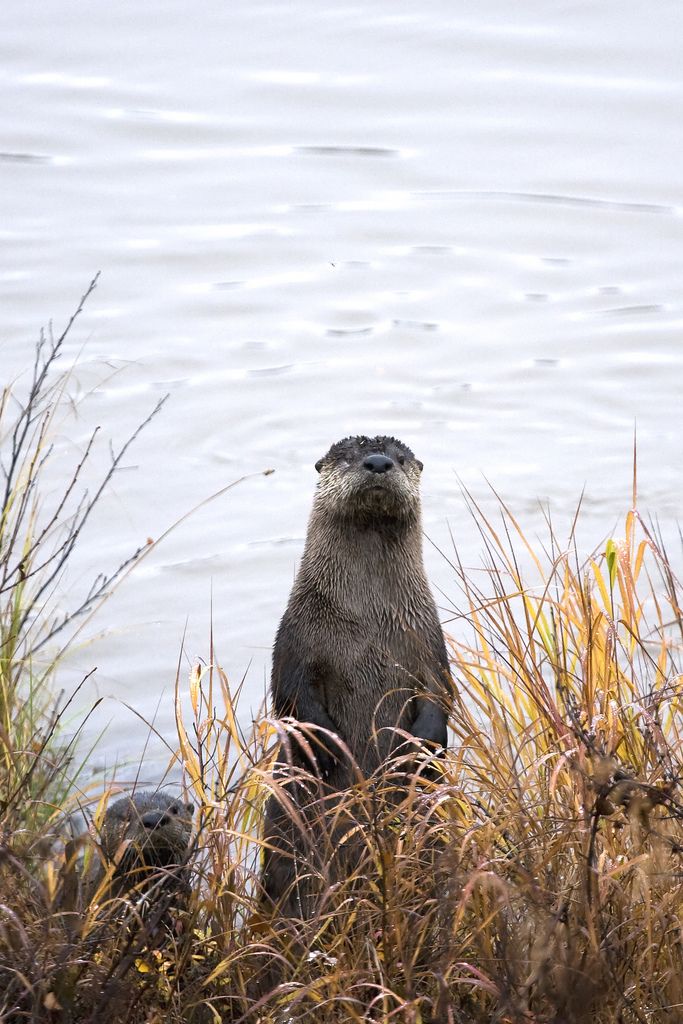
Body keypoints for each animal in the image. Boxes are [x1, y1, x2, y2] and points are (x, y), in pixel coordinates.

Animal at [262, 434, 452, 914]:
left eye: (401, 458)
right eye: (348, 457)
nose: (379, 462)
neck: (367, 624)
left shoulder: (428, 640)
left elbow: (442, 693)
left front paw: (421, 747)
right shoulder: (296, 639)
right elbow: (291, 693)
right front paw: (328, 747)